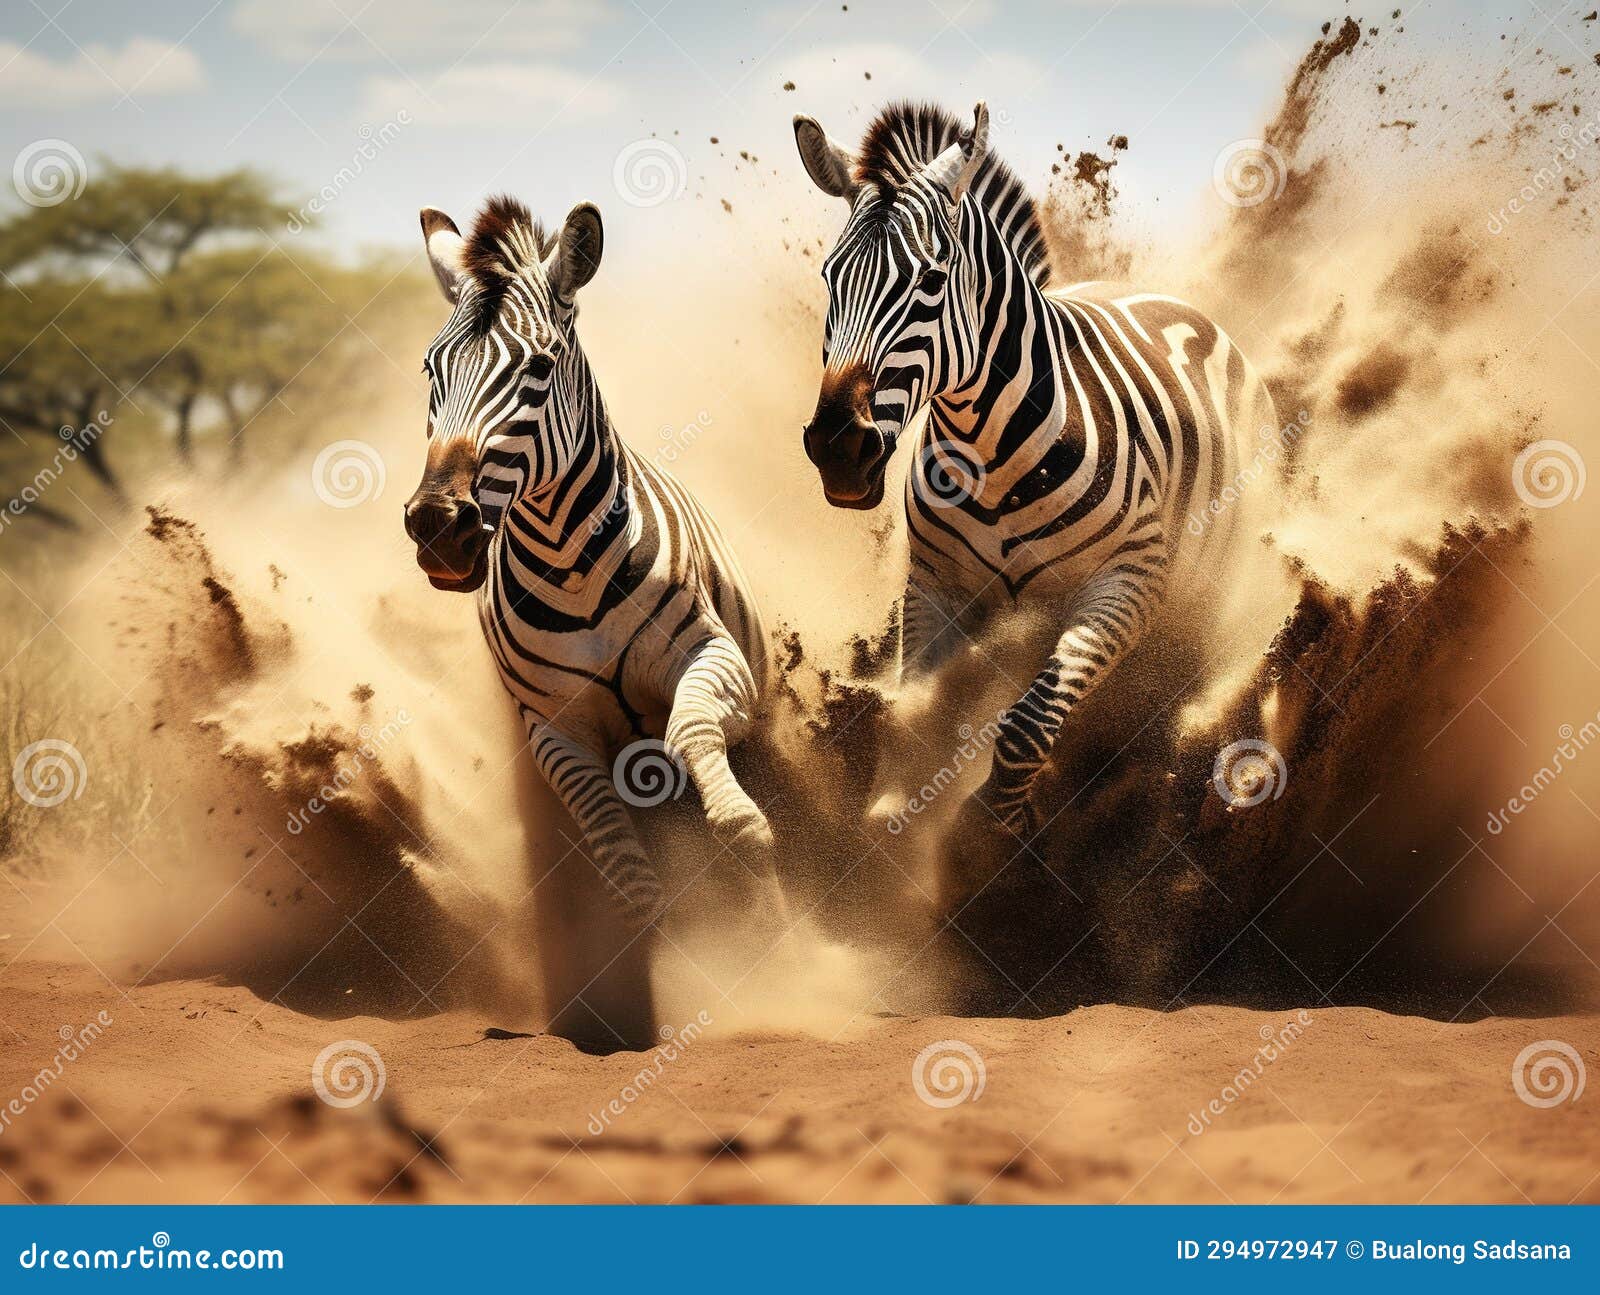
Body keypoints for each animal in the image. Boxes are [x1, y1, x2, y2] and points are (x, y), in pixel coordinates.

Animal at [403, 195, 774, 927]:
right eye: (431, 370)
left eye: (539, 371)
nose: (437, 528)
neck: (568, 565)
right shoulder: (553, 728)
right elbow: (625, 870)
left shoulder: (716, 658)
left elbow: (697, 743)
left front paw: (773, 914)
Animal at [792, 100, 1276, 838]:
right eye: (829, 279)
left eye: (930, 283)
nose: (838, 450)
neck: (989, 453)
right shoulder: (936, 587)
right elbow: (918, 718)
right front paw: (899, 813)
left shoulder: (1131, 580)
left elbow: (1027, 723)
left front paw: (990, 835)